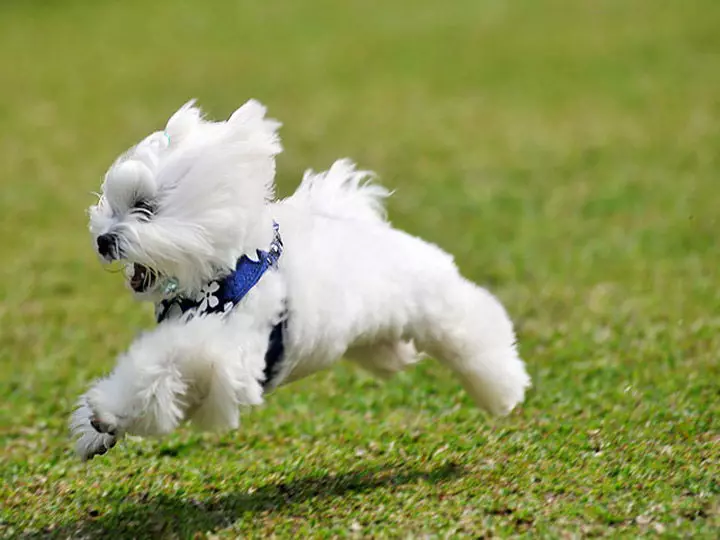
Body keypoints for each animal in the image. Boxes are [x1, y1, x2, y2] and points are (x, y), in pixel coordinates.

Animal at [70, 100, 532, 460]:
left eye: (145, 207)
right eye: (111, 205)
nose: (103, 241)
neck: (223, 279)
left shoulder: (229, 354)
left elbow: (163, 365)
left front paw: (107, 412)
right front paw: (96, 430)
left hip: (437, 308)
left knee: (476, 327)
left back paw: (506, 390)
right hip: (374, 340)